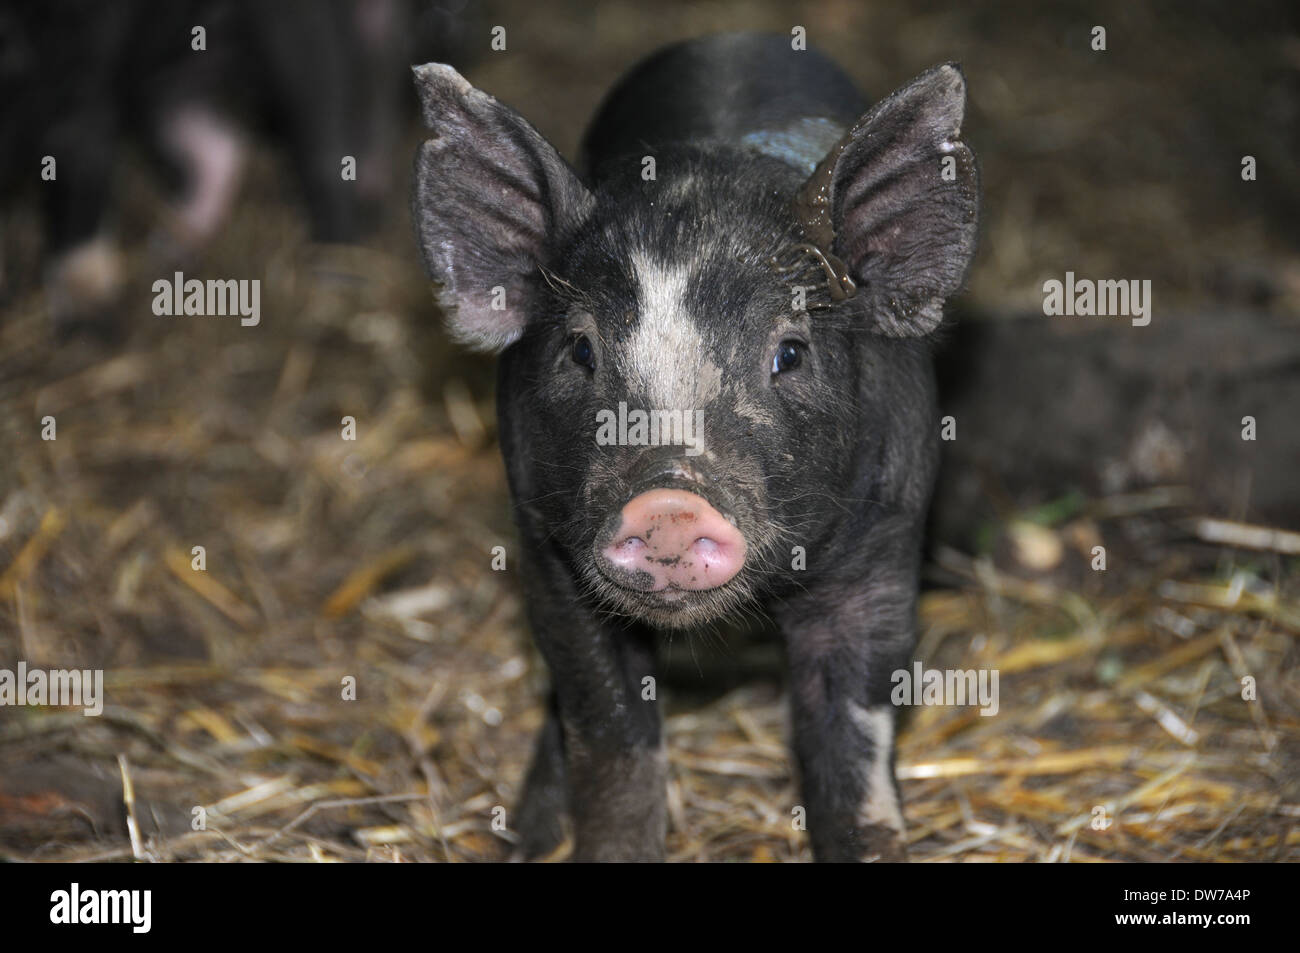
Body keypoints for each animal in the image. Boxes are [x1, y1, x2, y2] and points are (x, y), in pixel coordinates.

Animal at [411, 32, 978, 862]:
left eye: (789, 353)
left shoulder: (881, 541)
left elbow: (851, 735)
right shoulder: (546, 547)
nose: (669, 502)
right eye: (581, 349)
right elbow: (609, 730)